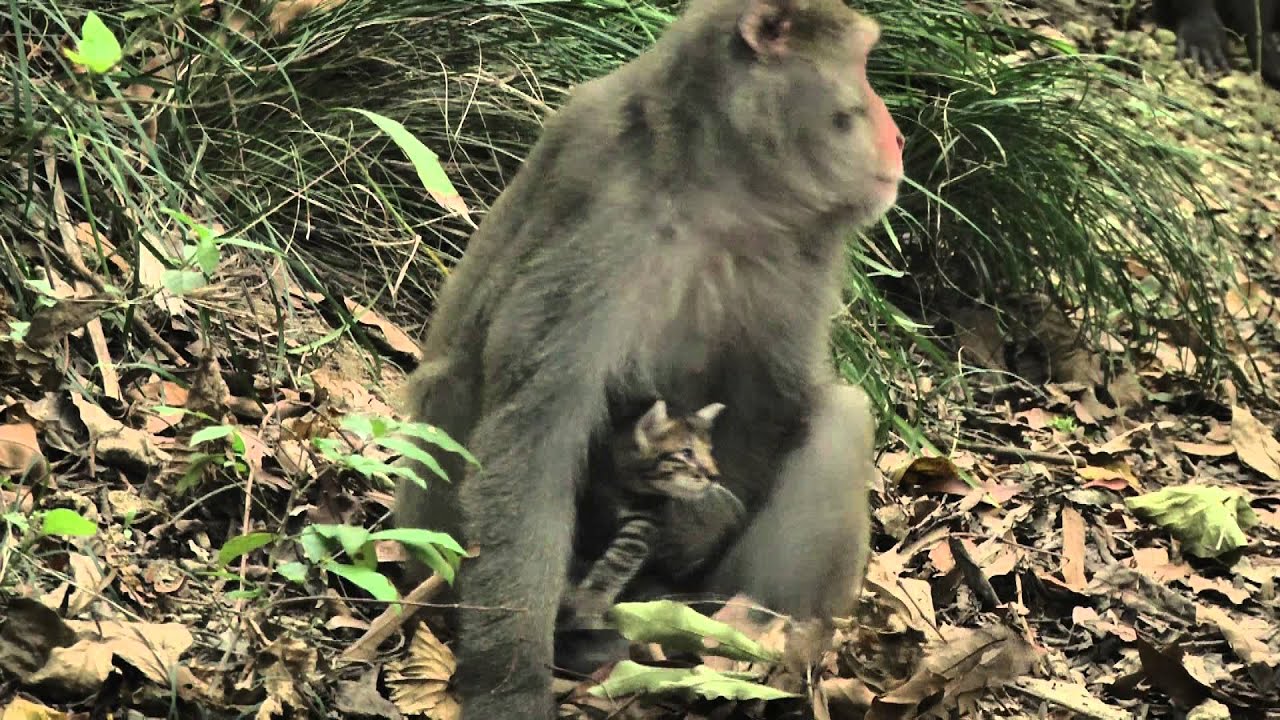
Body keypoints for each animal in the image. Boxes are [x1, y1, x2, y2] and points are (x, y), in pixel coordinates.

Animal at [558, 399, 733, 633]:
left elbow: (619, 559)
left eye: (710, 452)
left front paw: (592, 599)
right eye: (687, 453)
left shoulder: (644, 521)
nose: (715, 476)